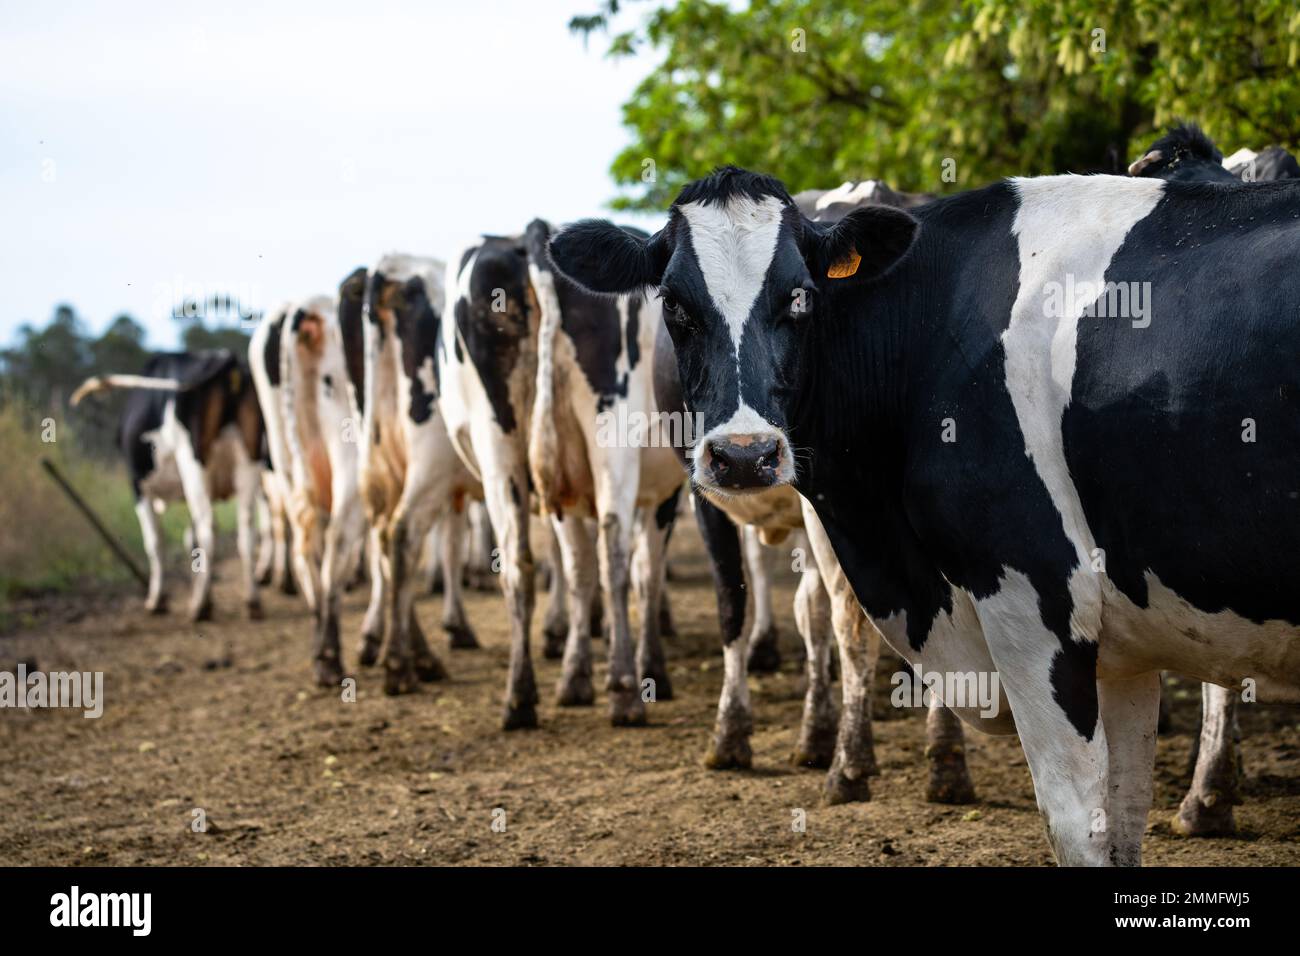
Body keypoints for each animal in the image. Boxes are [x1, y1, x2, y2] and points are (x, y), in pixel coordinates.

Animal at [71, 350, 265, 622]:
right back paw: (251, 602)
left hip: (192, 462)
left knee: (208, 528)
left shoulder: (139, 486)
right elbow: (189, 540)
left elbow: (155, 542)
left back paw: (198, 607)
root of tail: (226, 359)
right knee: (246, 531)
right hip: (247, 462)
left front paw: (157, 600)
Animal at [548, 164, 1300, 865]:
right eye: (675, 304)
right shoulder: (1122, 654)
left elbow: (1074, 829)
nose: (743, 456)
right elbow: (1120, 826)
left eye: (800, 296)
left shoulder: (1037, 604)